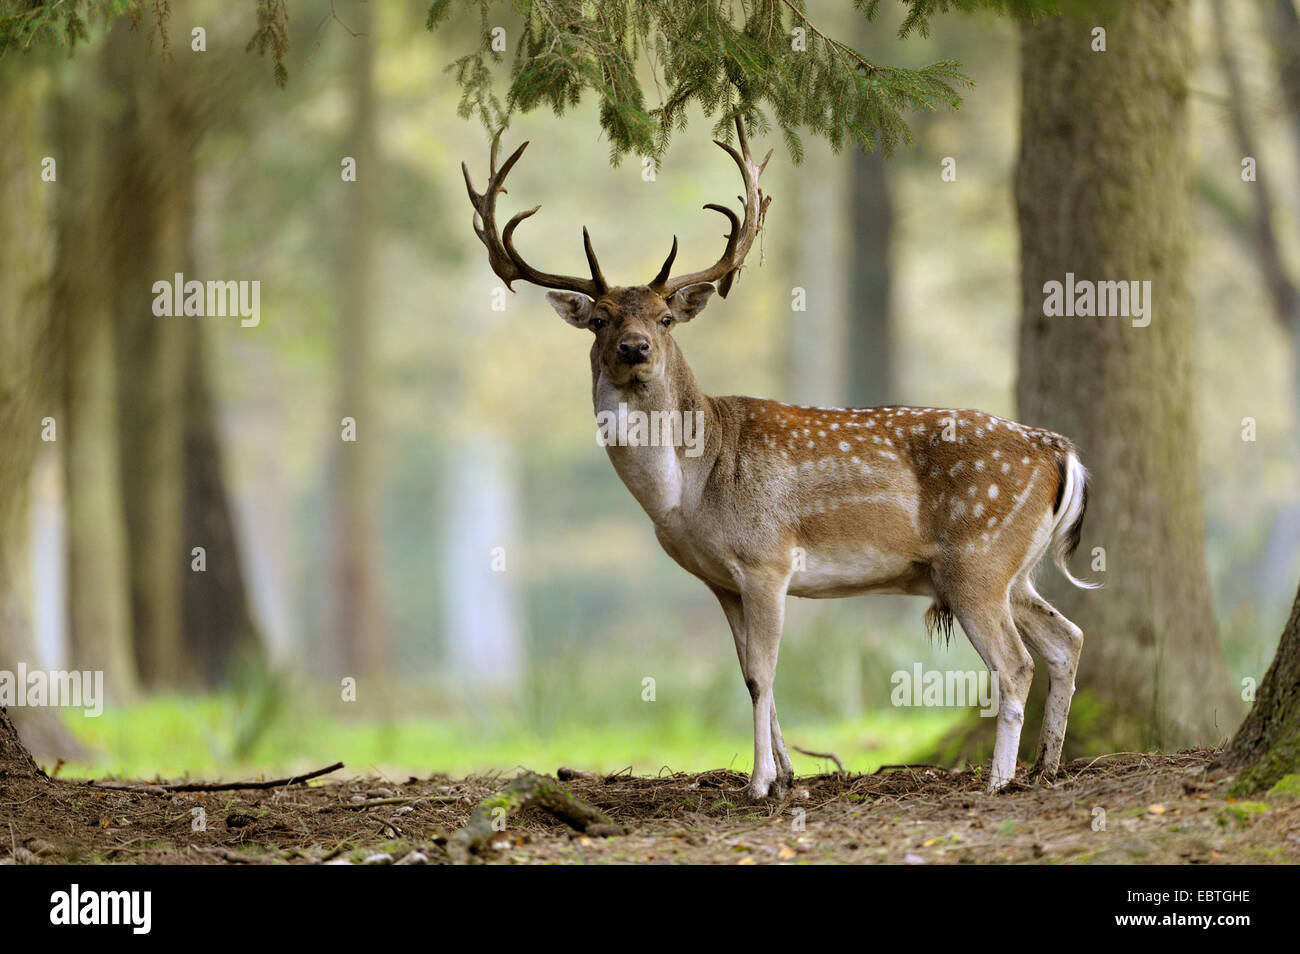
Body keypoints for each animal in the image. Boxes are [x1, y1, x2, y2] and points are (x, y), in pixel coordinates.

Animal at [462, 117, 1096, 799]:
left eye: (664, 317)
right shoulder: (720, 579)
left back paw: (1000, 779)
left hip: (977, 559)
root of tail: (1062, 451)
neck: (687, 490)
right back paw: (1047, 764)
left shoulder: (765, 559)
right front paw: (789, 773)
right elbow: (745, 671)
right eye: (600, 319)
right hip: (1014, 569)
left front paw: (761, 782)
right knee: (1066, 639)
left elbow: (763, 673)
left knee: (1015, 663)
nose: (634, 348)